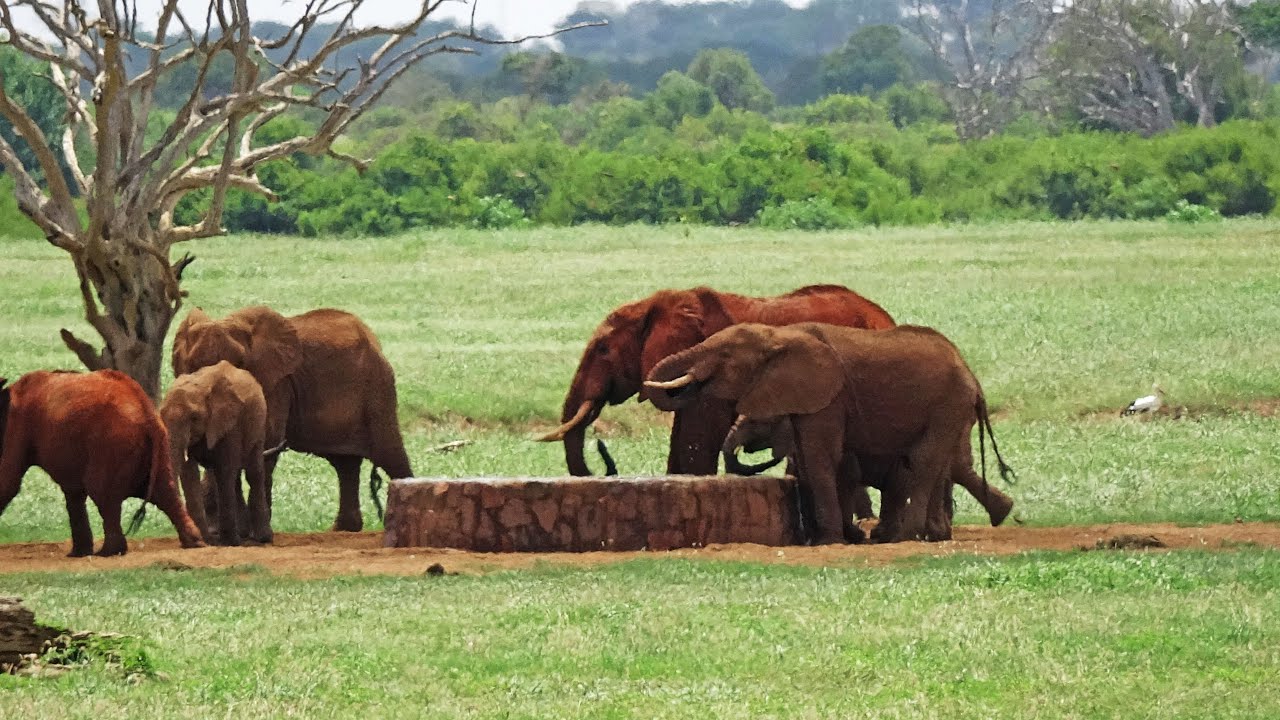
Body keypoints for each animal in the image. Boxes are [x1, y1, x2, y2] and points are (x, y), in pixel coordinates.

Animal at [0, 370, 205, 556]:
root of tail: (147, 412)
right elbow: (73, 491)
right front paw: (79, 553)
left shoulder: (16, 425)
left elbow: (8, 481)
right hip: (159, 445)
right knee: (166, 493)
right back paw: (195, 542)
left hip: (111, 444)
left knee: (102, 493)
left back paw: (108, 552)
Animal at [161, 361, 275, 547]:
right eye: (161, 414)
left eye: (194, 417)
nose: (193, 541)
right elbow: (189, 474)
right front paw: (203, 542)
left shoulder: (230, 423)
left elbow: (225, 470)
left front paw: (229, 543)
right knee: (233, 478)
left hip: (259, 422)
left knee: (253, 472)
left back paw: (262, 538)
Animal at [172, 305, 414, 532]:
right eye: (192, 366)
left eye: (239, 364)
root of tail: (372, 337)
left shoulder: (277, 384)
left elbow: (264, 439)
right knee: (345, 465)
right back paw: (340, 530)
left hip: (377, 388)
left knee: (389, 455)